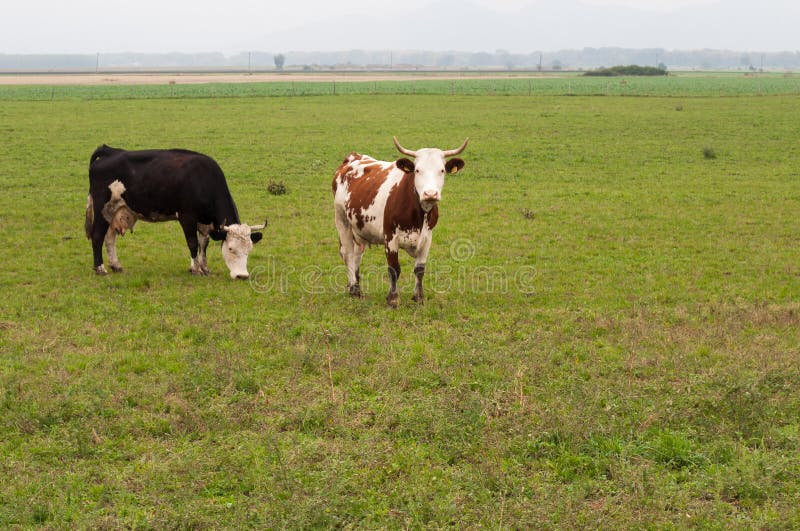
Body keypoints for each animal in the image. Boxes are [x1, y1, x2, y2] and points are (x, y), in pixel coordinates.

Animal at [85, 145, 266, 279]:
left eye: (249, 250)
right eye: (230, 249)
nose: (242, 276)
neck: (203, 180)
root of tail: (111, 151)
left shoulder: (205, 222)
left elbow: (203, 244)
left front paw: (204, 268)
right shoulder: (187, 217)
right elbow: (193, 243)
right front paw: (195, 269)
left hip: (115, 211)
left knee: (110, 237)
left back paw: (116, 265)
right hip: (102, 209)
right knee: (97, 236)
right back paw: (100, 268)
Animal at [332, 137, 468, 307]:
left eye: (442, 170)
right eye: (417, 170)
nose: (430, 194)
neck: (419, 216)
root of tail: (353, 157)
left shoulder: (427, 237)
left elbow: (420, 269)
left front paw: (418, 297)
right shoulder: (390, 237)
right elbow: (394, 269)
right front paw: (393, 299)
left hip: (359, 228)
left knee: (357, 254)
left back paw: (357, 286)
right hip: (342, 220)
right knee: (348, 254)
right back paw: (353, 290)